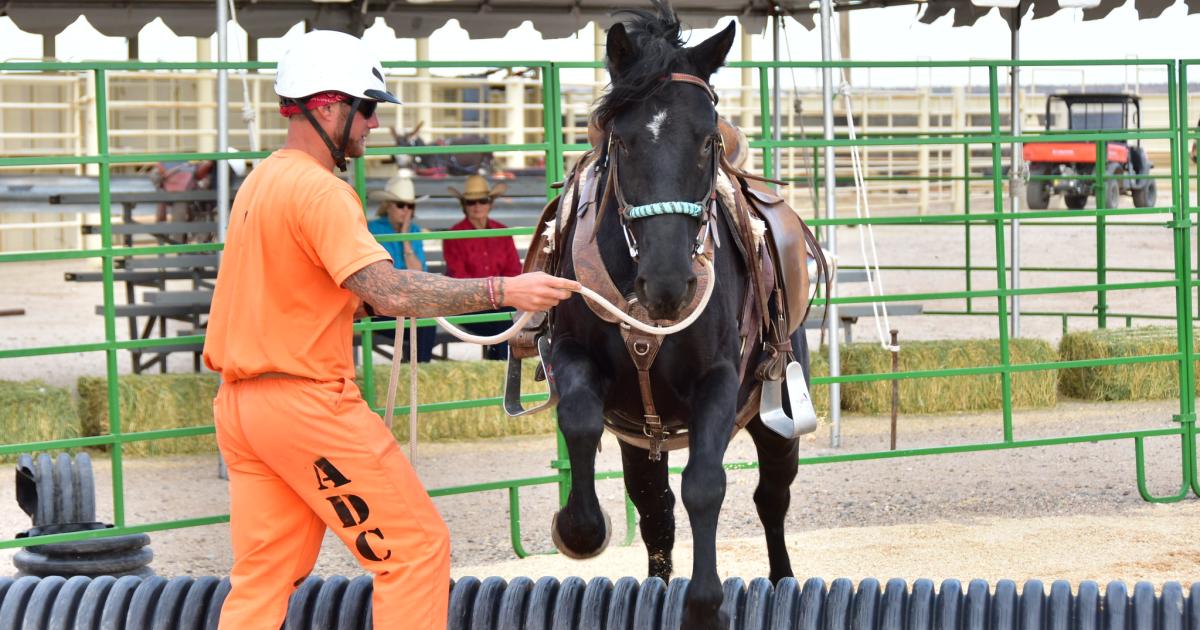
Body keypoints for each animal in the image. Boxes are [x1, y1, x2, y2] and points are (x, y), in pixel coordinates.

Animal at [533, 2, 823, 627]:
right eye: (621, 141)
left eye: (709, 139)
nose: (668, 283)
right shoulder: (574, 358)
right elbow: (580, 421)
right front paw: (580, 529)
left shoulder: (718, 380)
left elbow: (706, 485)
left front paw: (705, 602)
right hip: (643, 438)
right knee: (655, 509)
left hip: (777, 413)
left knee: (771, 498)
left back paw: (783, 583)